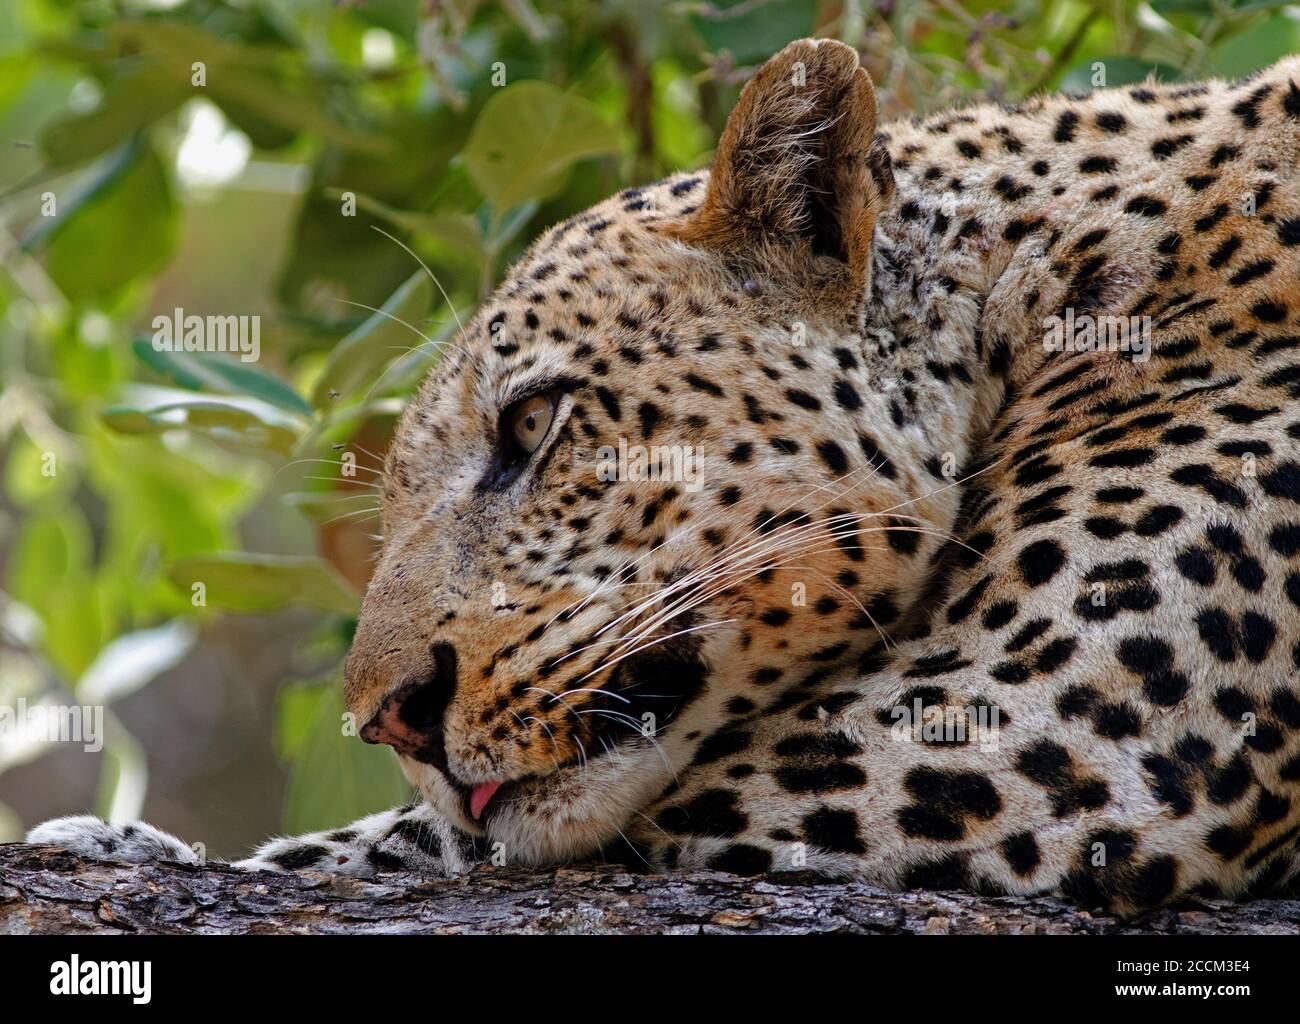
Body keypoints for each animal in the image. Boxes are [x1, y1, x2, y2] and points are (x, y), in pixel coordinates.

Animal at [30, 39, 1300, 915]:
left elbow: (393, 845)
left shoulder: (1037, 734)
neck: (1040, 290)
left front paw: (106, 842)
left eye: (532, 422)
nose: (392, 721)